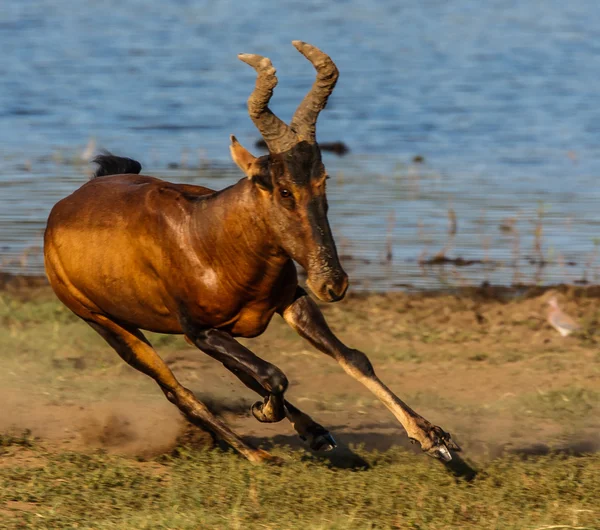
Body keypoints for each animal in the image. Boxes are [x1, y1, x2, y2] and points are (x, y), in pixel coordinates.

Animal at [44, 42, 460, 462]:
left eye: (322, 179)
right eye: (283, 189)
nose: (332, 283)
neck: (205, 232)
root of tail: (67, 204)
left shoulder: (291, 301)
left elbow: (351, 358)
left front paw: (434, 438)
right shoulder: (201, 331)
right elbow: (274, 374)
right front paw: (263, 414)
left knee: (241, 373)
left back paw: (312, 432)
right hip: (106, 323)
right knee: (179, 392)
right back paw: (258, 453)